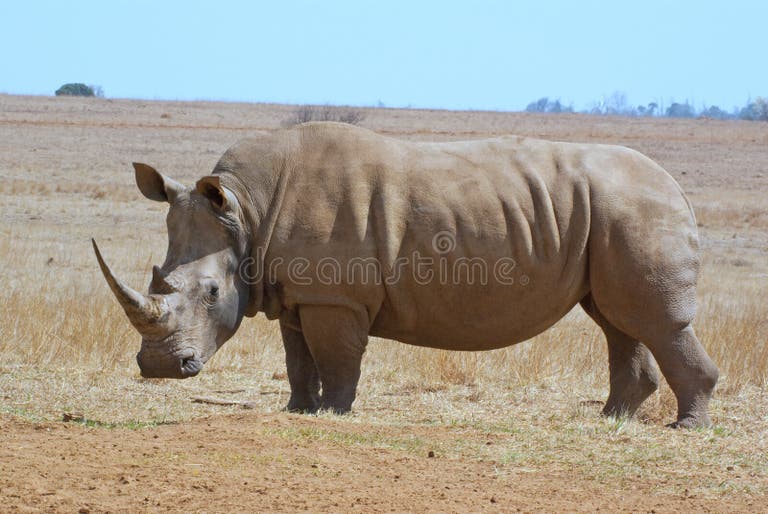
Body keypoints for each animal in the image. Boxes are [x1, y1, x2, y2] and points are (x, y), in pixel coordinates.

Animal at [93, 122, 718, 428]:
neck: (246, 209)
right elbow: (297, 356)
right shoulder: (298, 291)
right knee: (617, 319)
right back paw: (613, 422)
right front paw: (298, 410)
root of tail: (678, 187)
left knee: (652, 320)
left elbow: (337, 355)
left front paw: (334, 413)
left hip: (635, 208)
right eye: (157, 277)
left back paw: (685, 429)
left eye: (212, 291)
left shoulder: (334, 296)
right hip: (613, 214)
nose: (159, 368)